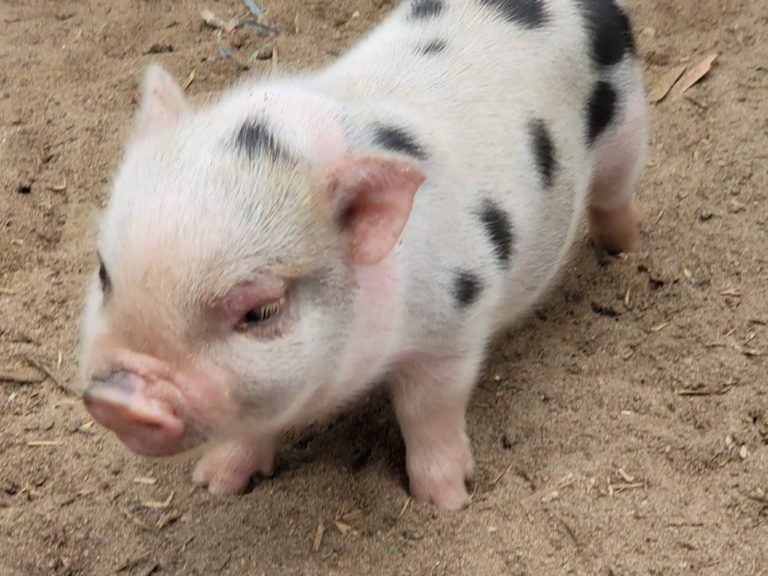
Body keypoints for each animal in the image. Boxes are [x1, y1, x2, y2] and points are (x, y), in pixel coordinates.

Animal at [80, 0, 648, 510]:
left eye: (261, 311)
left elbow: (427, 411)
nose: (119, 398)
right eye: (105, 274)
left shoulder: (452, 325)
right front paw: (214, 484)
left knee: (614, 198)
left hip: (628, 132)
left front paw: (446, 502)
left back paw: (621, 252)